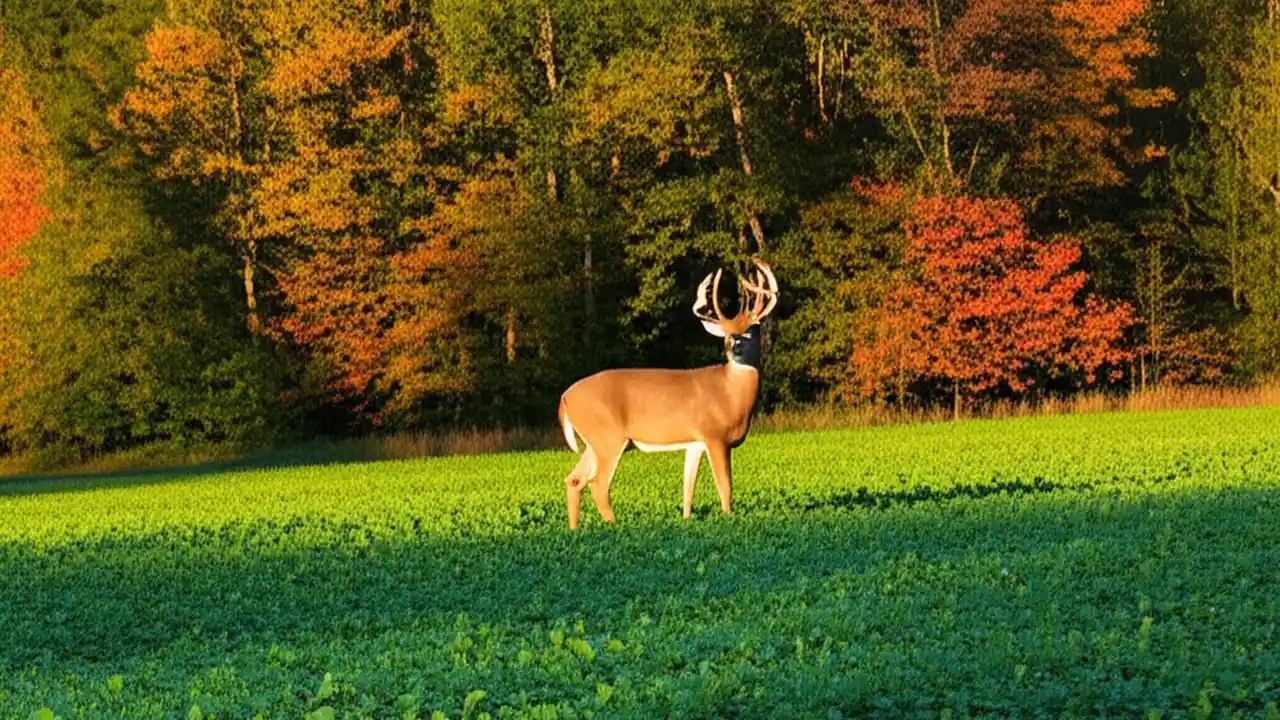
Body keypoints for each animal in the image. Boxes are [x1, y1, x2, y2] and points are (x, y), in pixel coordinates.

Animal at [557, 258, 779, 529]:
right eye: (726, 334)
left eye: (749, 331)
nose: (731, 346)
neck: (731, 394)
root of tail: (564, 398)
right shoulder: (714, 436)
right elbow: (725, 487)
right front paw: (728, 518)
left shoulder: (695, 442)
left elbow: (688, 489)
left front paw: (687, 520)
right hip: (608, 437)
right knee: (598, 484)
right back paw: (615, 526)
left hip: (595, 441)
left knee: (574, 479)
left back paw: (575, 530)